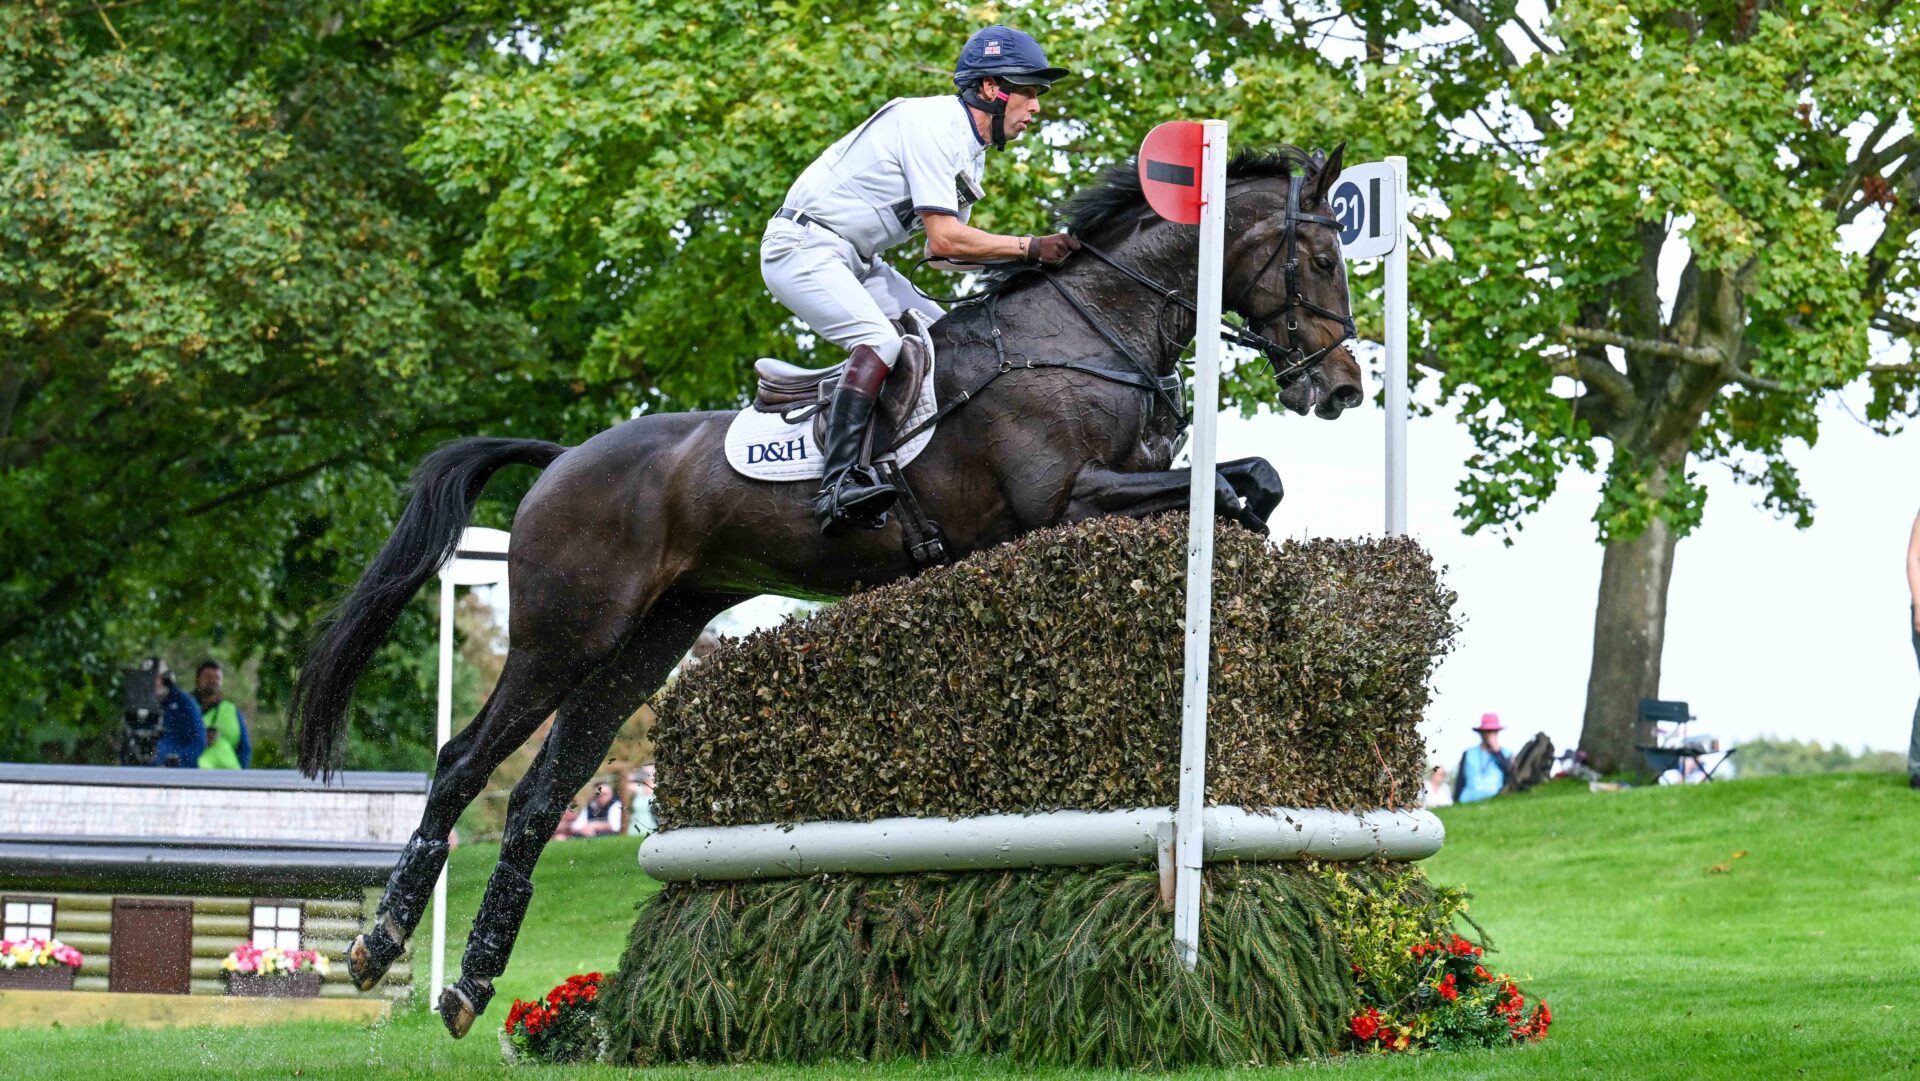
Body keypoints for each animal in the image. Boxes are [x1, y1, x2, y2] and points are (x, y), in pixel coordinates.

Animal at [289, 145, 1365, 1037]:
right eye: (1319, 258)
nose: (1343, 388)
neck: (1090, 330)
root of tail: (561, 460)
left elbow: (1247, 481)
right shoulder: (1066, 503)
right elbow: (1226, 482)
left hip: (650, 637)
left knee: (541, 792)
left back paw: (472, 983)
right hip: (569, 630)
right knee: (465, 761)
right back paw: (379, 946)